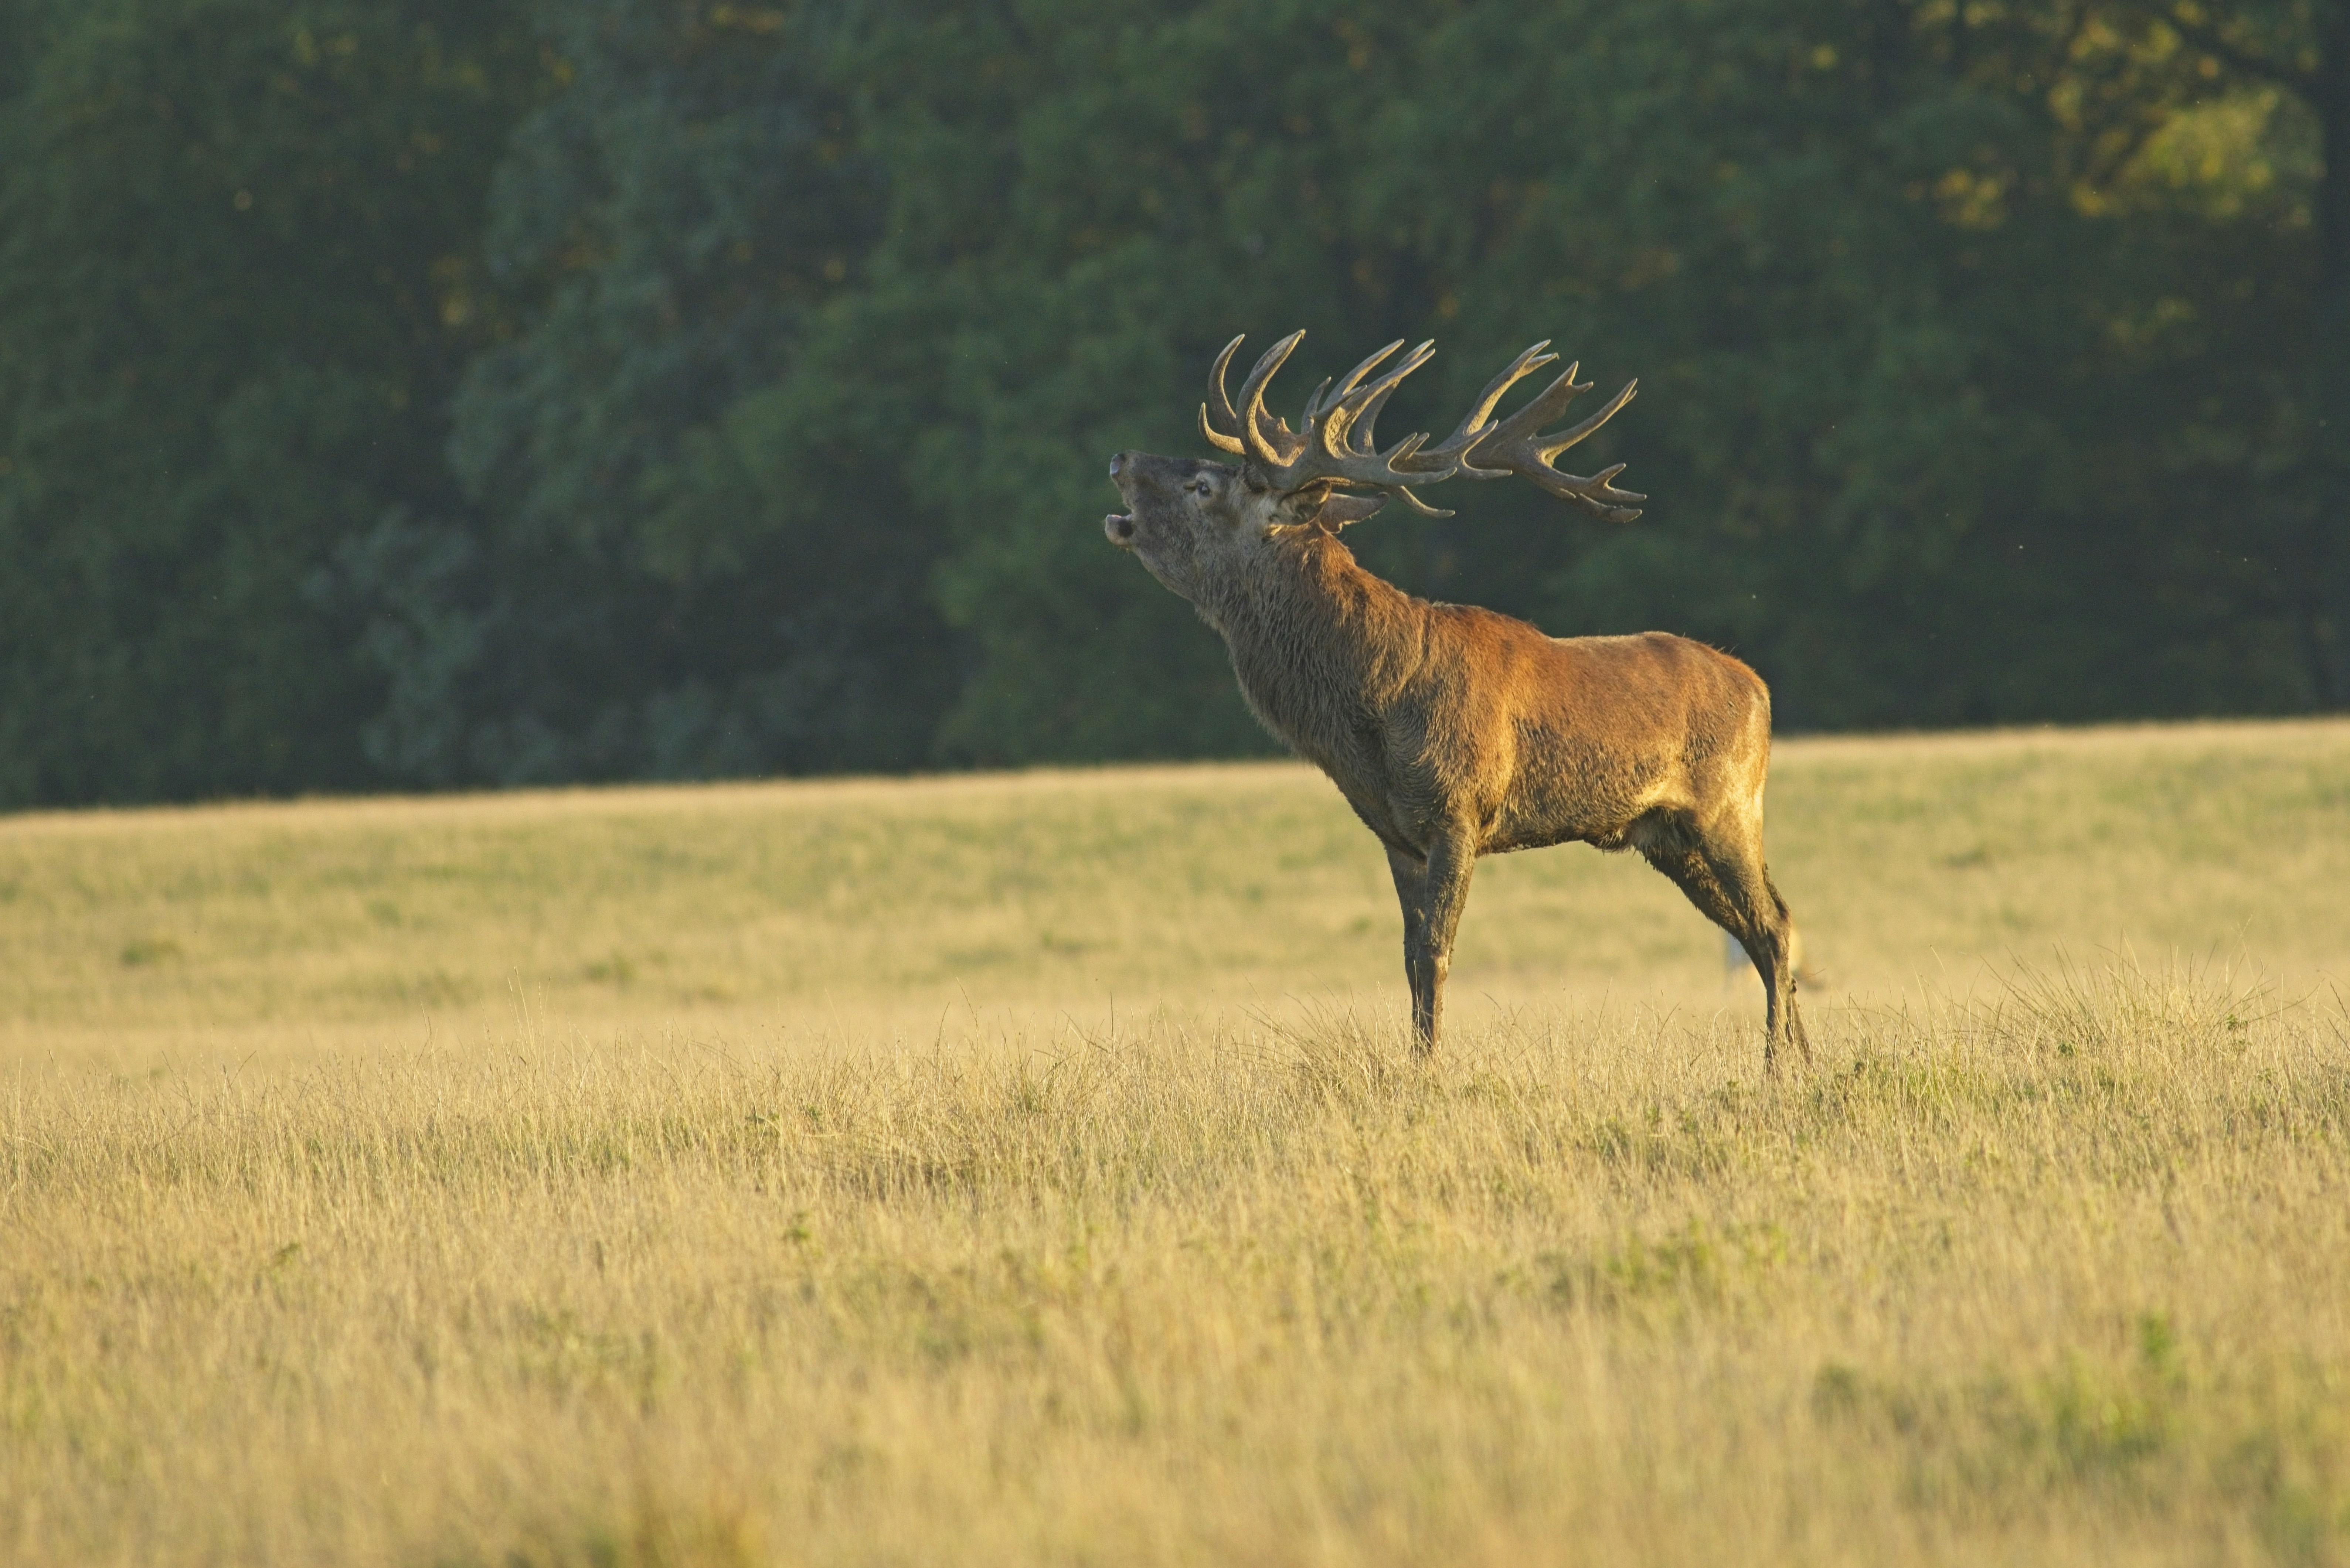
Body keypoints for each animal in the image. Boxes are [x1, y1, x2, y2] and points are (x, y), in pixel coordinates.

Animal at [1103, 330, 1812, 1069]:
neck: (1370, 713)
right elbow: (1408, 960)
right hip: (1666, 835)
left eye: (1202, 485)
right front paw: (1416, 1062)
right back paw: (1804, 1059)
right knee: (1768, 924)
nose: (1119, 459)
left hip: (1727, 806)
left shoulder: (1458, 809)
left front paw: (1428, 1071)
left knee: (1771, 927)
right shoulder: (1396, 835)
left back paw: (1773, 1068)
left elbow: (1435, 955)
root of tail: (1758, 688)